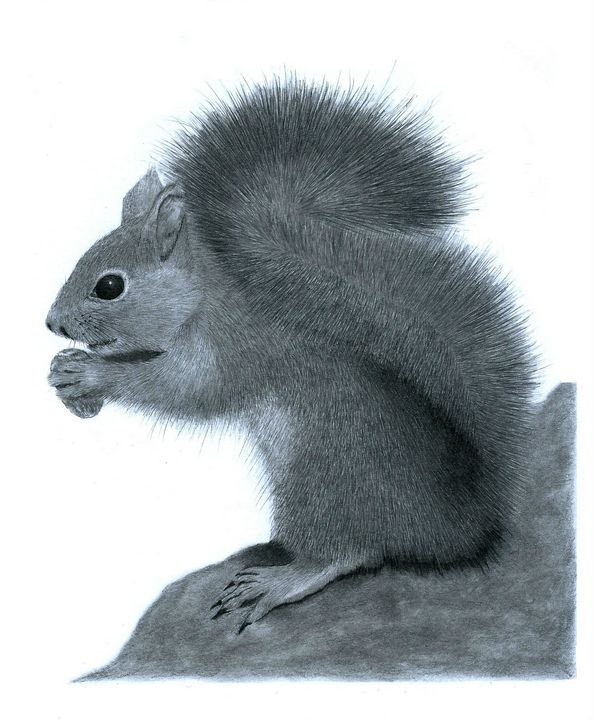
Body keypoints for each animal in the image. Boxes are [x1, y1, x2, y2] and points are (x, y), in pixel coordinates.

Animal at [47, 77, 537, 633]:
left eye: (109, 286)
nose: (52, 324)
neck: (209, 295)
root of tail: (457, 527)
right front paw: (65, 373)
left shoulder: (237, 350)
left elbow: (184, 390)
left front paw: (93, 375)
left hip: (318, 477)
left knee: (347, 553)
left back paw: (279, 581)